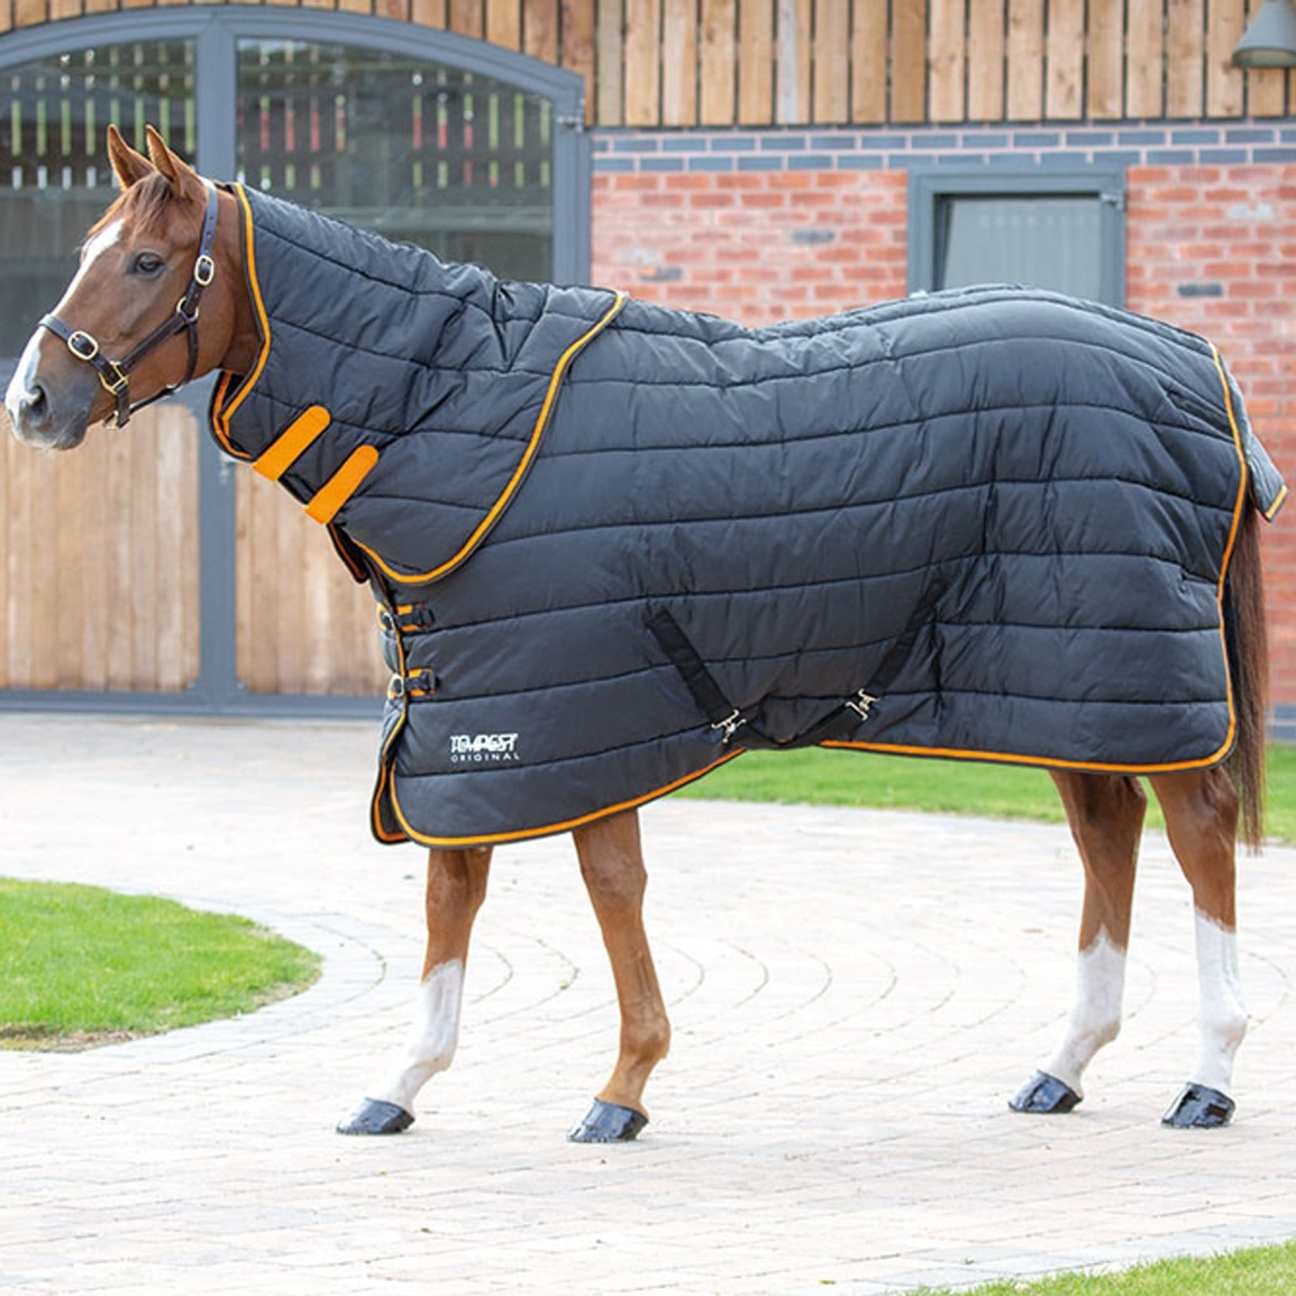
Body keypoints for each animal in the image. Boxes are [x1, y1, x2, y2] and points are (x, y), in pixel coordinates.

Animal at [5, 124, 1281, 1141]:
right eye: (86, 252)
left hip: (1136, 670)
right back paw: (1062, 1067)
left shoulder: (570, 709)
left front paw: (621, 1087)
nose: (32, 401)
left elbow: (603, 886)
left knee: (1198, 831)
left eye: (147, 260)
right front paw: (400, 1084)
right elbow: (453, 889)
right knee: (1110, 834)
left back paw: (1211, 1075)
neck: (452, 409)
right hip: (1066, 682)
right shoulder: (472, 714)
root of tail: (1192, 361)